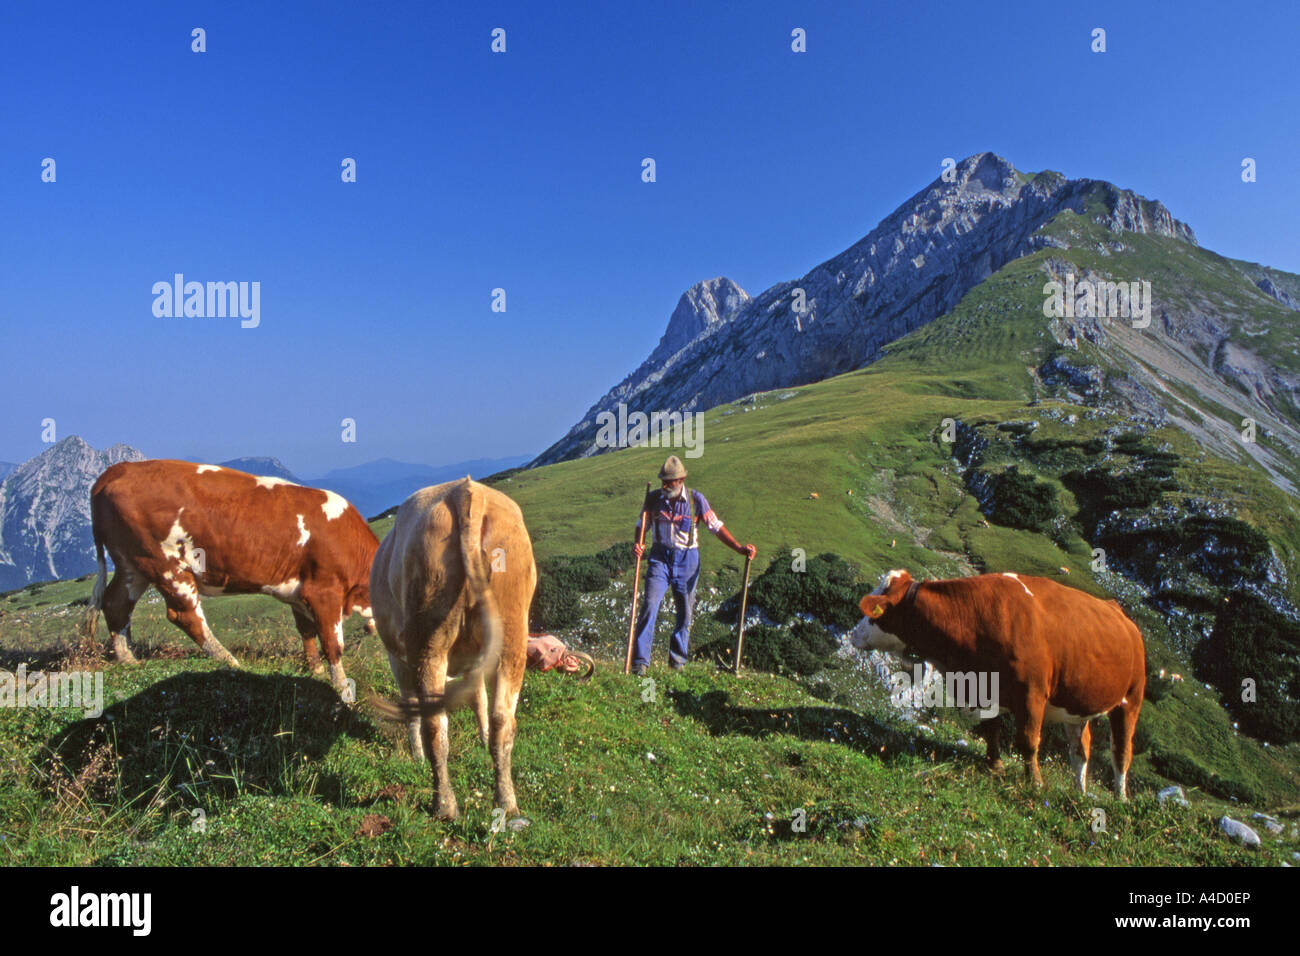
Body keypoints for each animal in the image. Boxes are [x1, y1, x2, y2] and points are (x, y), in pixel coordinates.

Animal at [87, 460, 379, 696]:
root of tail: (121, 468)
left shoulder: (299, 593)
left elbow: (307, 632)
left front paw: (314, 670)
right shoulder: (324, 591)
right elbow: (332, 642)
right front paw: (342, 688)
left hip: (132, 564)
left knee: (116, 604)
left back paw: (128, 658)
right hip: (165, 564)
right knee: (185, 615)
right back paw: (229, 660)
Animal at [369, 477, 535, 820]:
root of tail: (468, 491)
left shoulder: (397, 658)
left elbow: (411, 707)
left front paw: (415, 756)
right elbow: (478, 697)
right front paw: (482, 738)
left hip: (427, 642)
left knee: (433, 723)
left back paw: (444, 805)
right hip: (512, 633)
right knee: (502, 720)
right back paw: (506, 802)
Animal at [851, 569, 1145, 799]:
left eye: (874, 613)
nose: (853, 634)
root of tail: (1120, 613)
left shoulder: (1031, 693)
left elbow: (1028, 741)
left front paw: (1035, 783)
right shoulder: (983, 689)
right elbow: (990, 729)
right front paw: (995, 764)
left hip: (1130, 699)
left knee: (1122, 753)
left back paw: (1120, 799)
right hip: (1076, 707)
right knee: (1080, 750)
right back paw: (1079, 793)